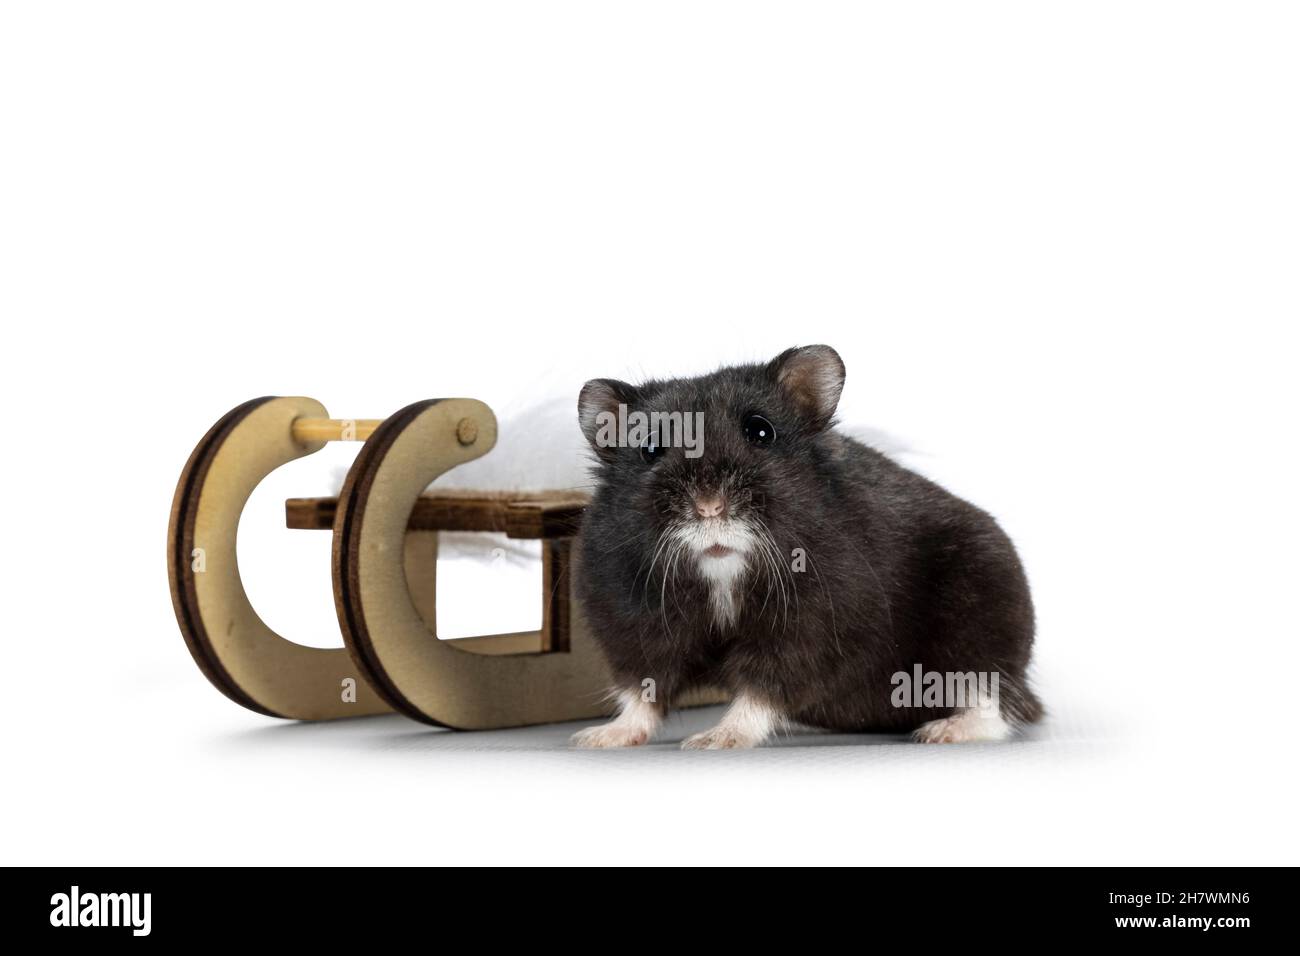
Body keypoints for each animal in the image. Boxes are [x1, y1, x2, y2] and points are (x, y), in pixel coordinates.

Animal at [571, 345, 1042, 749]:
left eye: (760, 431)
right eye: (651, 447)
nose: (709, 507)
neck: (722, 572)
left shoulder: (810, 630)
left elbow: (762, 688)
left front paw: (713, 740)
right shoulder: (632, 624)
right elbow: (642, 692)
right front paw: (597, 738)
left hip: (982, 611)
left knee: (991, 698)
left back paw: (941, 731)